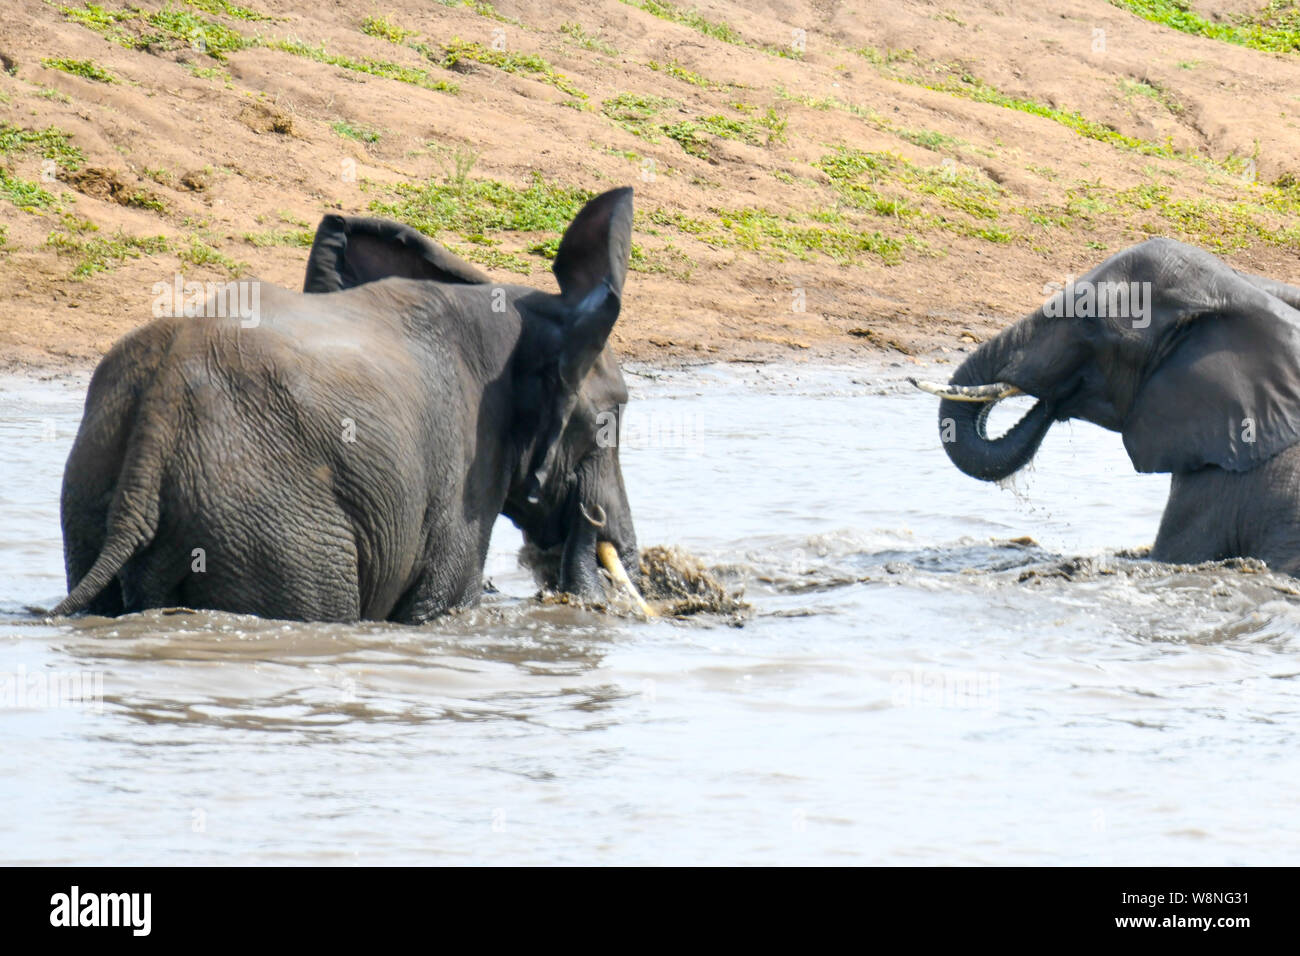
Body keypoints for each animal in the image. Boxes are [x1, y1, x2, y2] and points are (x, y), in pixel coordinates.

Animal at [53, 186, 652, 623]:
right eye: (611, 418)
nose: (595, 519)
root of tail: (159, 412)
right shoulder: (467, 472)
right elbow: (440, 604)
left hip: (95, 484)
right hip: (274, 521)